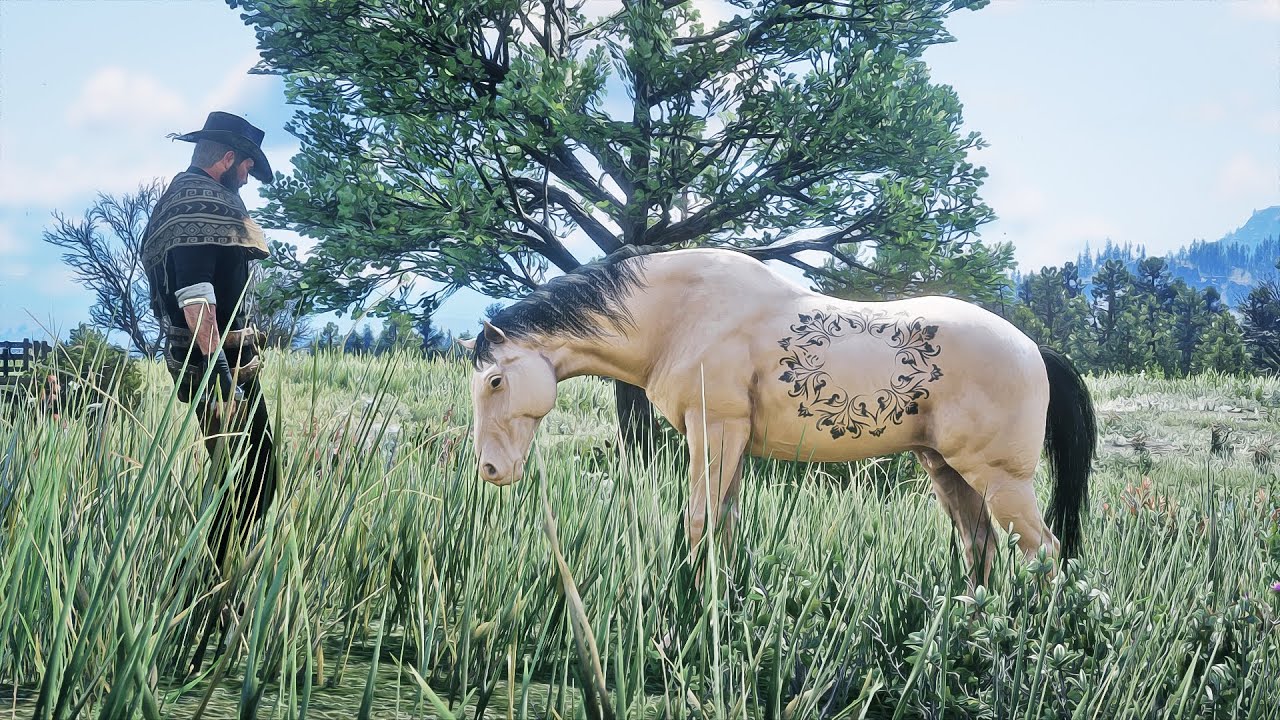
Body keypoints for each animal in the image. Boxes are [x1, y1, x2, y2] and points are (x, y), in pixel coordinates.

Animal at [459, 246, 1097, 582]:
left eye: (494, 381)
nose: (490, 471)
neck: (683, 315)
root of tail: (1034, 349)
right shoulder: (731, 442)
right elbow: (724, 523)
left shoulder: (713, 431)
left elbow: (697, 518)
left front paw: (688, 599)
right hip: (948, 471)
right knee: (980, 548)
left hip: (1000, 481)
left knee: (1044, 554)